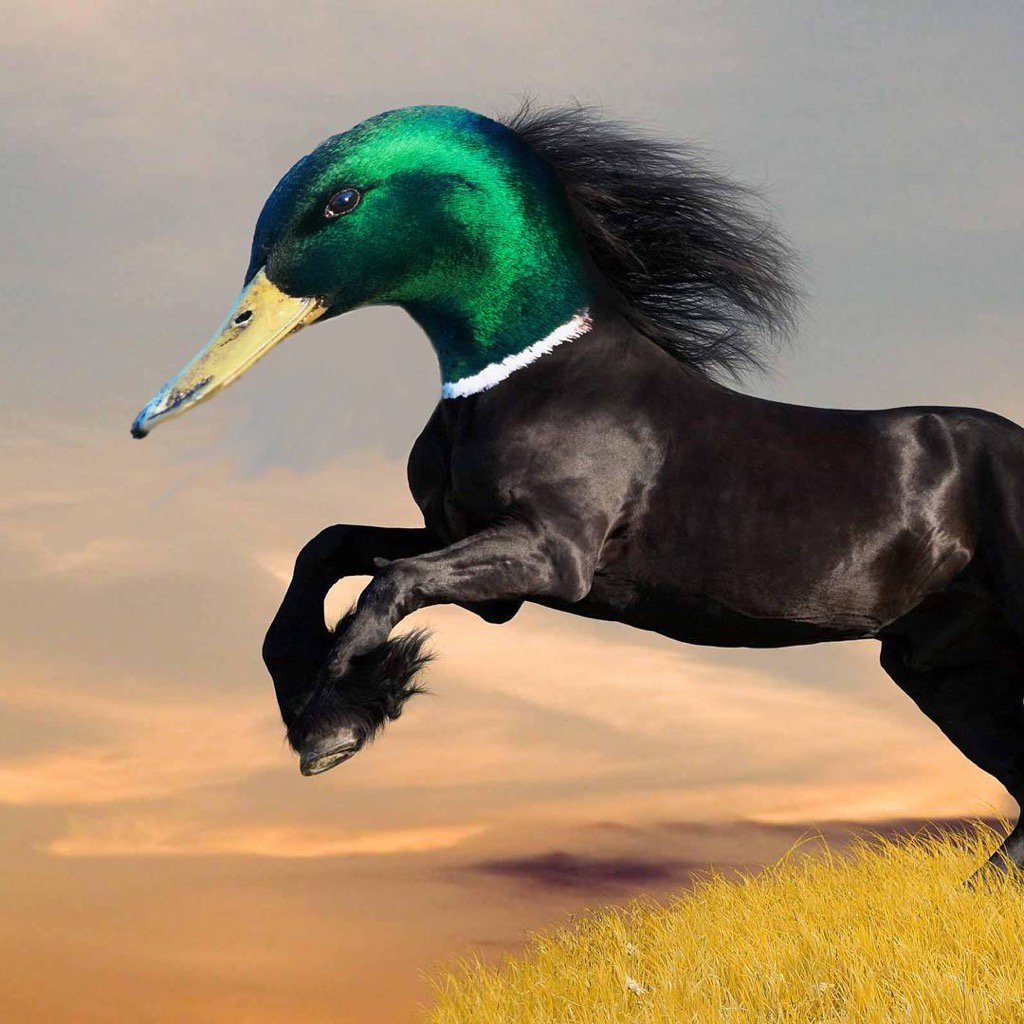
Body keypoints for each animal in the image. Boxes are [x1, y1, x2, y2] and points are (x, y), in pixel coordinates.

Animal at [132, 104, 1024, 873]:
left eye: (341, 201)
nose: (157, 408)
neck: (540, 379)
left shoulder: (553, 556)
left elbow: (388, 581)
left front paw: (336, 715)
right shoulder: (476, 558)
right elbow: (332, 548)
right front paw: (311, 689)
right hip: (939, 667)